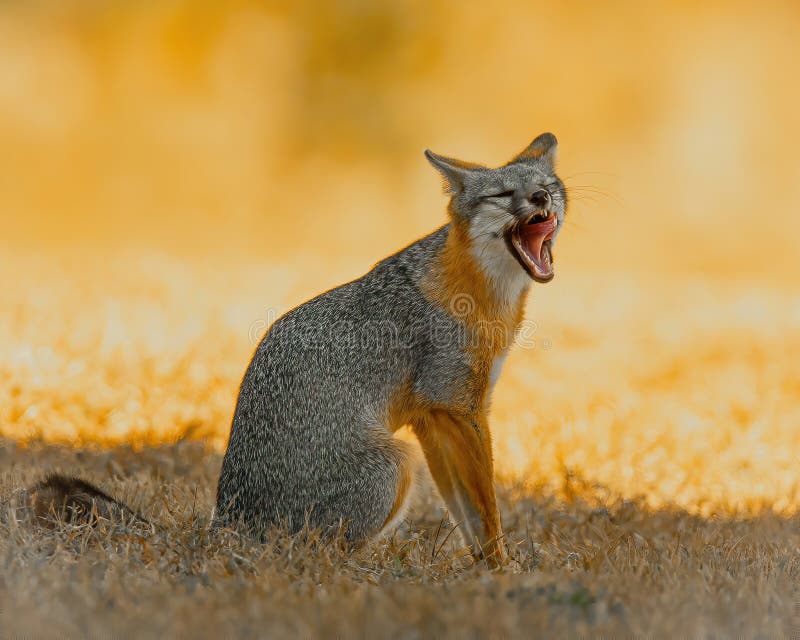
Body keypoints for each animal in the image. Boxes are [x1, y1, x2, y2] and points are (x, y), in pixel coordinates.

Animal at [18, 134, 567, 566]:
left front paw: (483, 567)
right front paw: (502, 568)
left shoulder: (439, 417)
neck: (480, 294)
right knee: (315, 552)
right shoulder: (457, 409)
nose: (542, 196)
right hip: (396, 465)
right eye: (504, 193)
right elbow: (486, 508)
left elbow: (468, 511)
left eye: (549, 186)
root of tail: (230, 518)